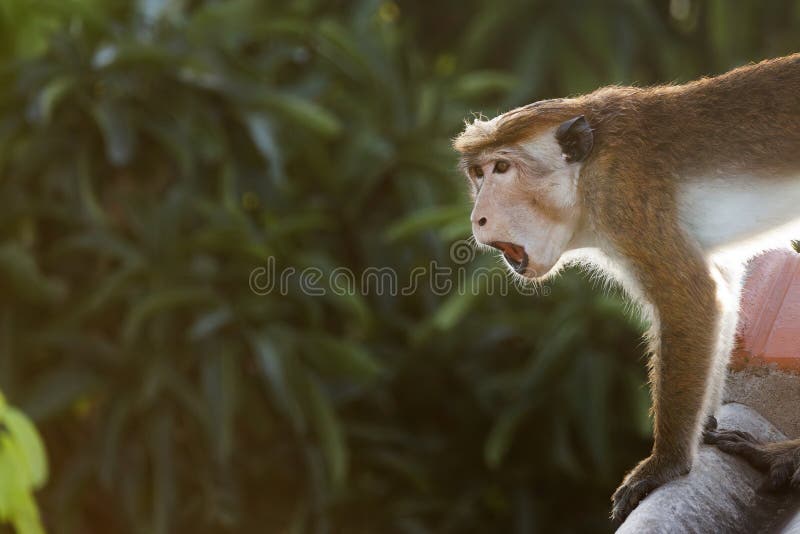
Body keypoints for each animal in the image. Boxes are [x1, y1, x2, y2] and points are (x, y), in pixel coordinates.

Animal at [452, 53, 800, 524]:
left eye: (503, 168)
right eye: (478, 173)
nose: (478, 217)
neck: (586, 173)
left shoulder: (623, 198)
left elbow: (690, 297)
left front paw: (666, 463)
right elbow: (722, 290)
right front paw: (704, 424)